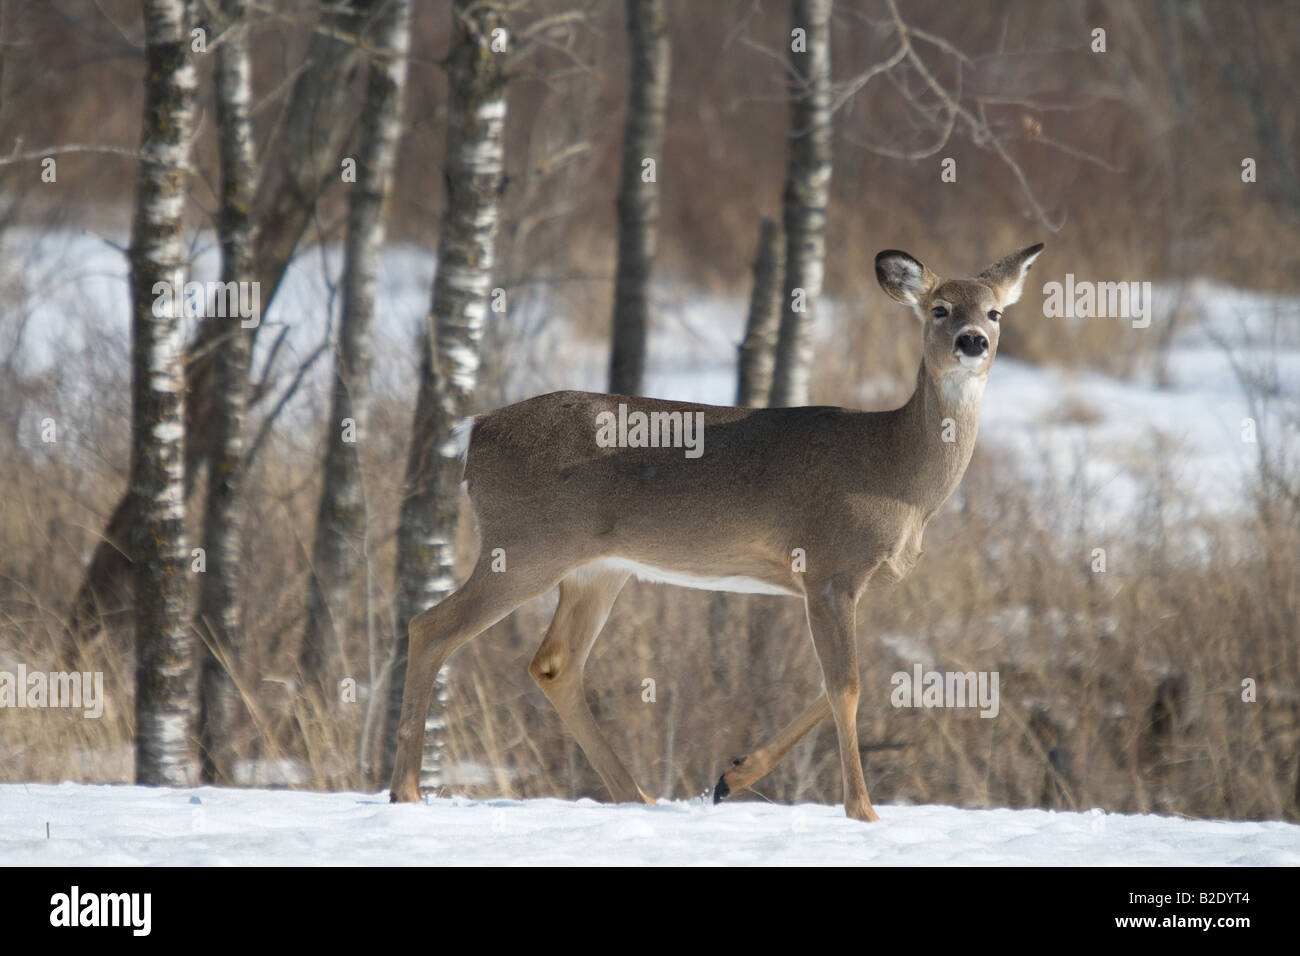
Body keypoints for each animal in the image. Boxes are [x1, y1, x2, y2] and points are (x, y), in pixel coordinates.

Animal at [389, 242, 1044, 821]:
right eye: (939, 308)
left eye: (995, 311)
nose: (972, 341)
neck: (898, 474)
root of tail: (473, 434)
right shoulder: (829, 569)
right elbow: (848, 687)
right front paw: (863, 812)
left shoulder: (838, 584)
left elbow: (842, 682)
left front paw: (731, 777)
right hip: (525, 545)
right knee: (431, 627)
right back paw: (406, 791)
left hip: (597, 569)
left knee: (554, 663)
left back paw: (639, 797)